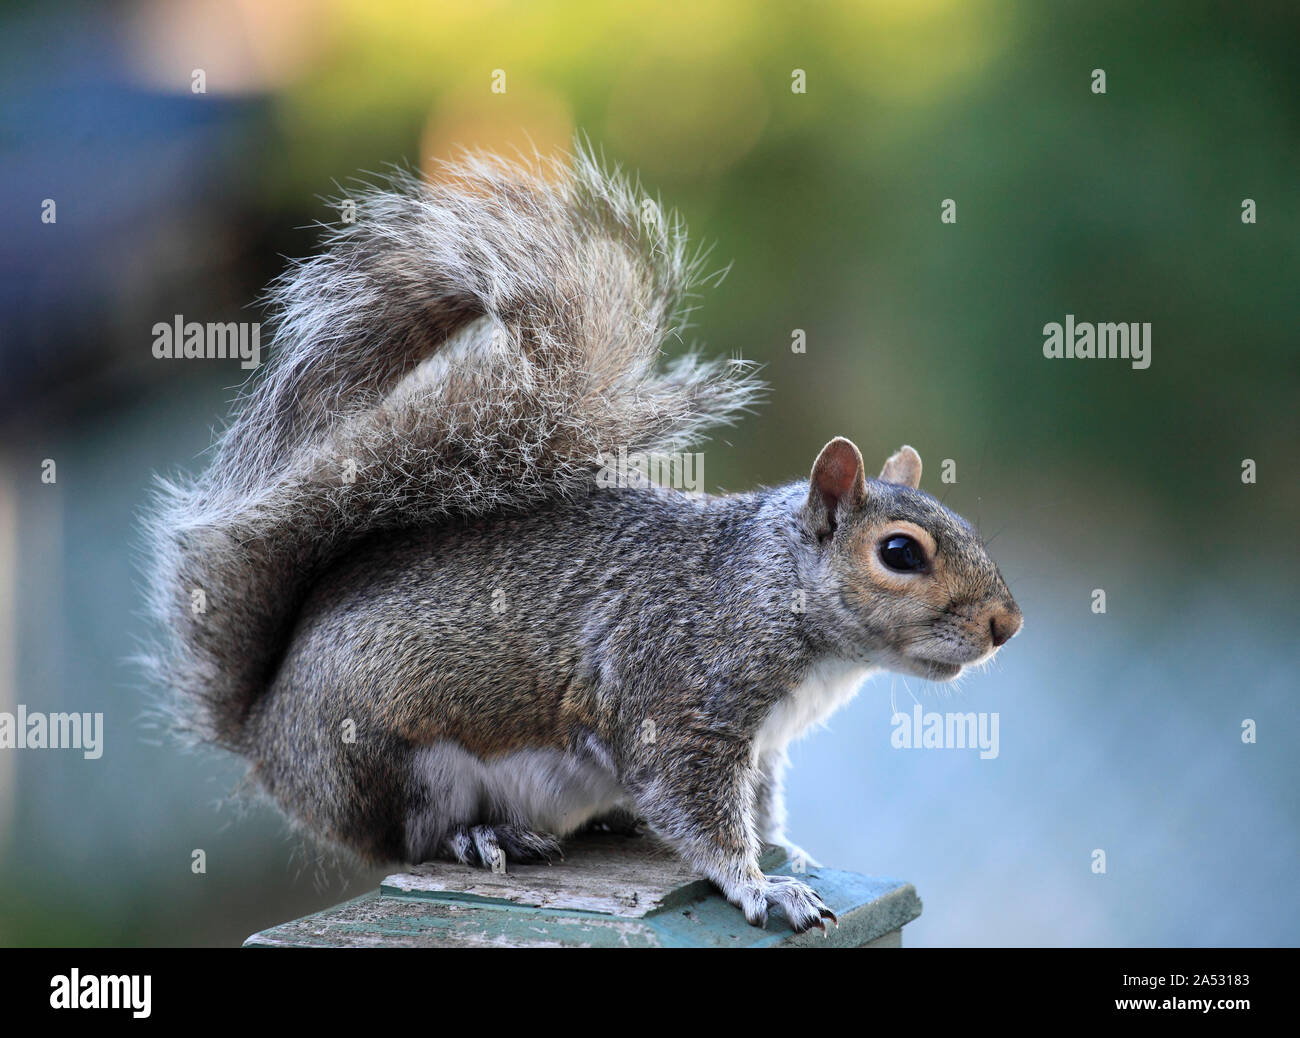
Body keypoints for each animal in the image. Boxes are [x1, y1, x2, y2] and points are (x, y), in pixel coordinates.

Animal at [144, 146, 1022, 934]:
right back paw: (484, 834)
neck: (773, 592)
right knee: (414, 836)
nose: (1006, 625)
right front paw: (761, 887)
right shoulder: (677, 699)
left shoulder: (764, 746)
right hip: (393, 757)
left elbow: (759, 803)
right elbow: (697, 807)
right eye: (900, 553)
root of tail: (264, 730)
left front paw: (785, 850)